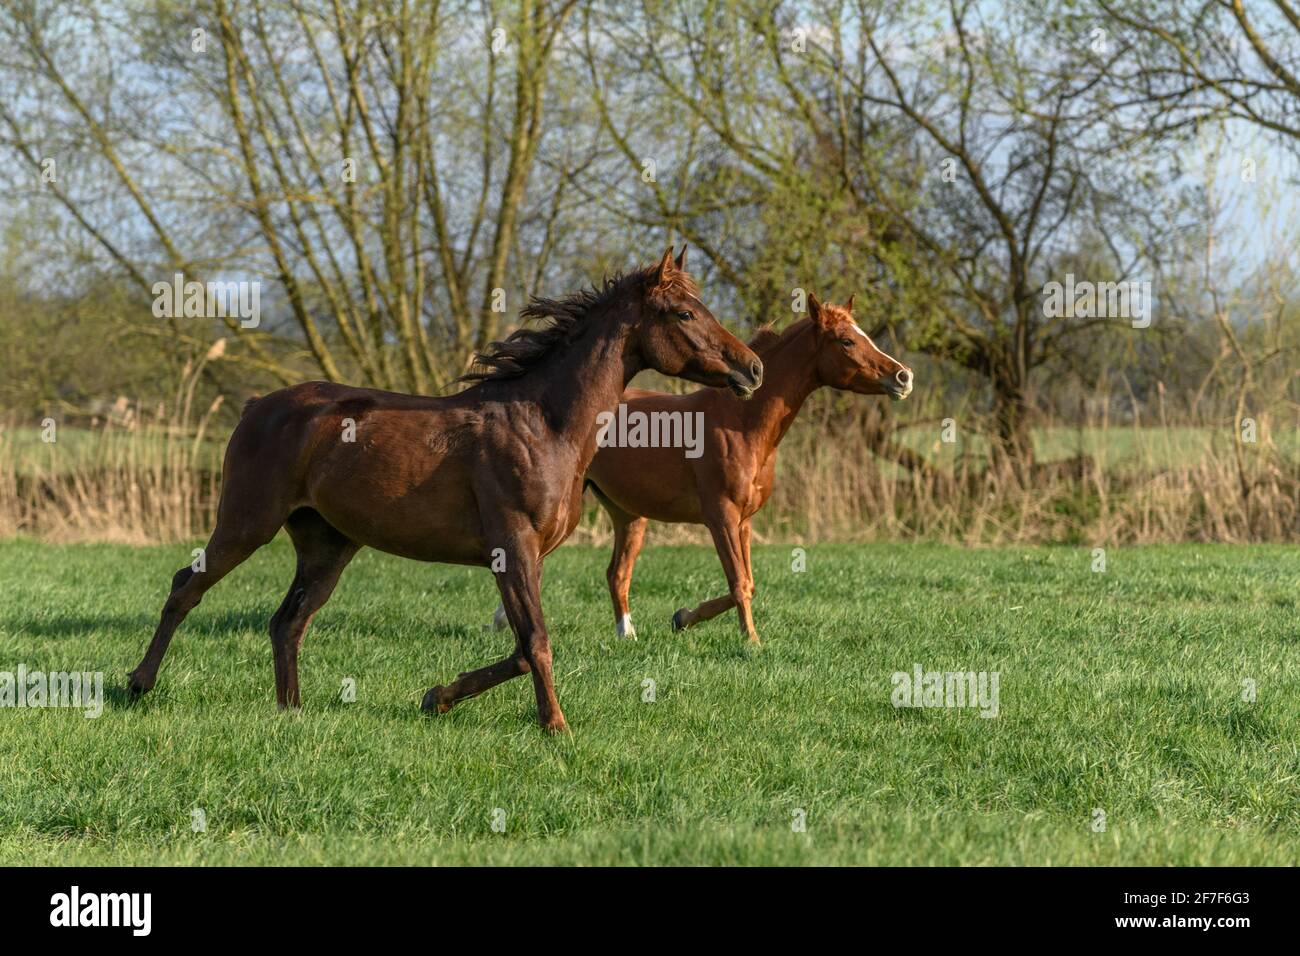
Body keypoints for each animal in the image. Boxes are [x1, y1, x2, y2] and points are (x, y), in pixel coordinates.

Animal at [126, 247, 764, 733]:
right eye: (683, 312)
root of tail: (259, 406)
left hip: (327, 545)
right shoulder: (513, 547)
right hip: (246, 523)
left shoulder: (522, 558)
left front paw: (436, 696)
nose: (752, 368)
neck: (544, 424)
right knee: (186, 588)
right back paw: (138, 684)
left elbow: (518, 647)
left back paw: (293, 712)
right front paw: (555, 726)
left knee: (288, 622)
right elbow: (535, 642)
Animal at [577, 293, 910, 643]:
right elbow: (739, 582)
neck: (740, 424)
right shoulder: (721, 518)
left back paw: (627, 635)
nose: (903, 377)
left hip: (628, 515)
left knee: (617, 573)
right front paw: (751, 640)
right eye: (847, 341)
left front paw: (684, 617)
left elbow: (749, 583)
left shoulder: (744, 522)